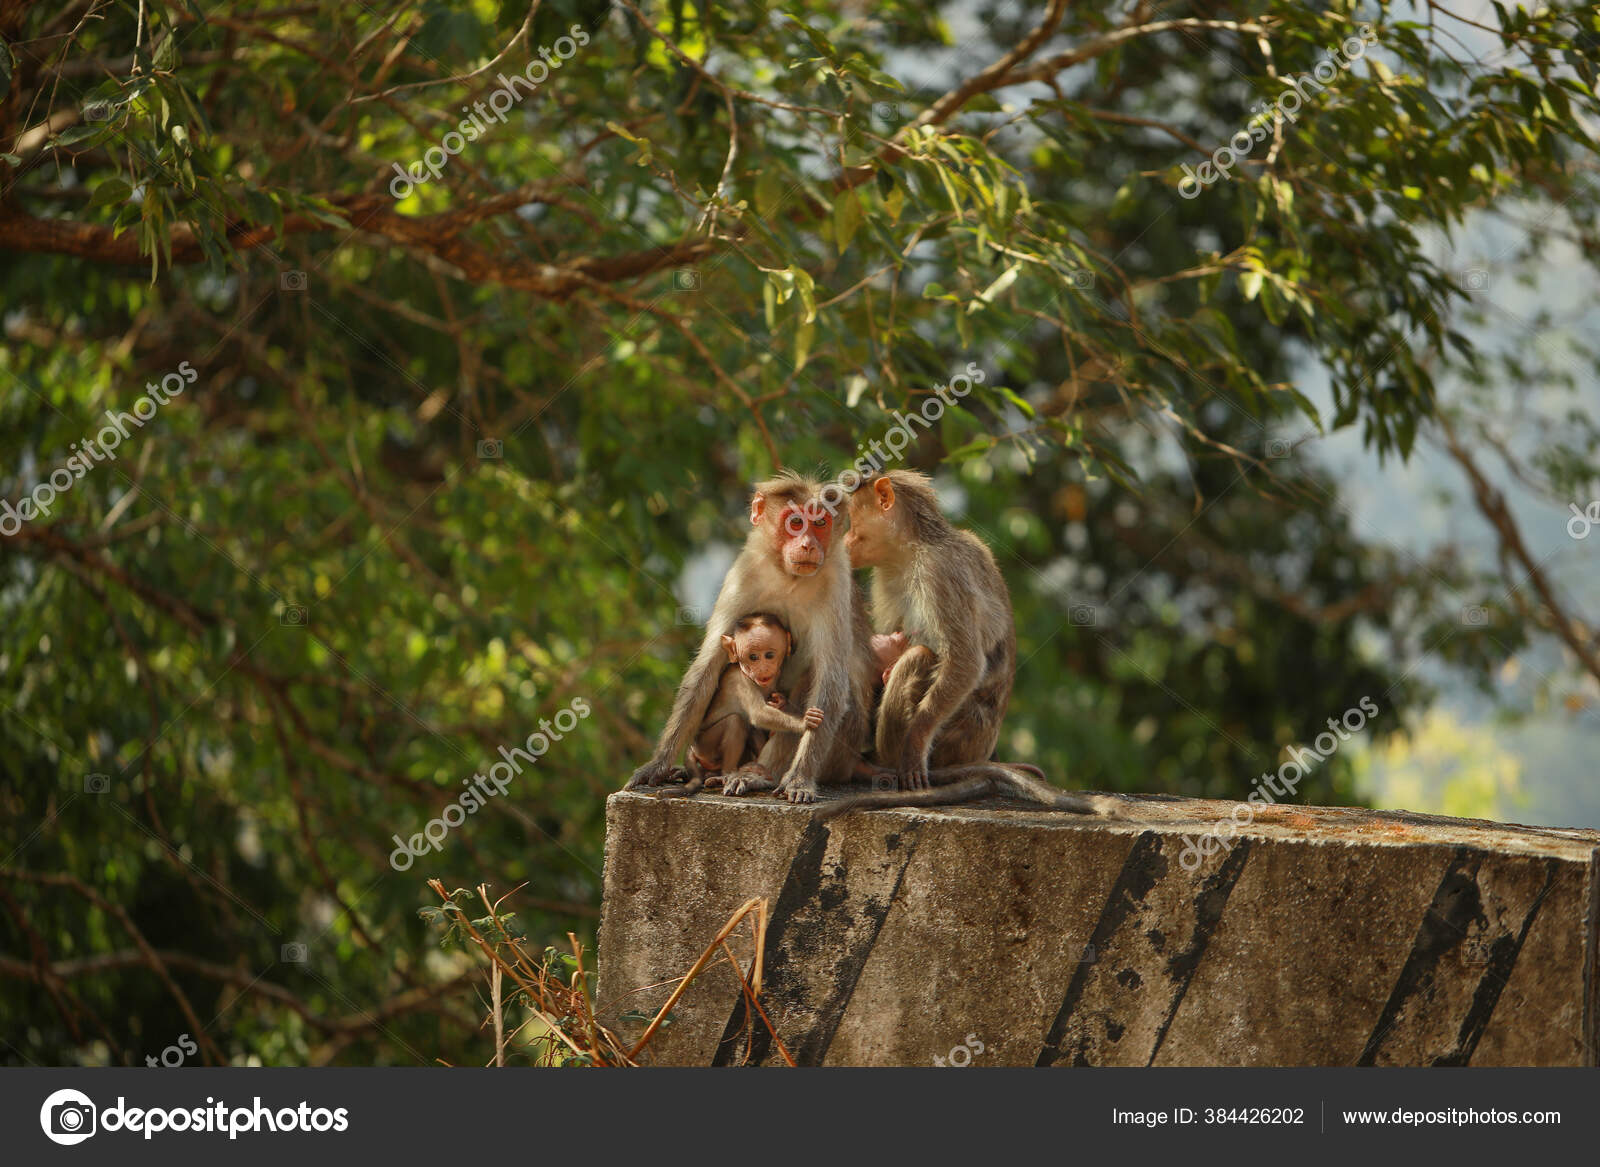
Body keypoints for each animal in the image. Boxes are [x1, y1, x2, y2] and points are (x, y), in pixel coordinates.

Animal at [658, 613, 825, 800]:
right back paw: (725, 775)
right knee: (736, 722)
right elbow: (759, 714)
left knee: (751, 729)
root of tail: (691, 749)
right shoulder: (740, 680)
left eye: (769, 655)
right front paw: (804, 721)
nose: (762, 668)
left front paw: (781, 702)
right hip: (705, 746)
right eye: (753, 657)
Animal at [823, 469, 1123, 820]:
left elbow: (965, 660)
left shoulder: (939, 572)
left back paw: (888, 759)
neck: (912, 550)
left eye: (852, 522)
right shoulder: (886, 579)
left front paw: (914, 745)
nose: (845, 542)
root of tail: (982, 750)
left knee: (918, 658)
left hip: (960, 735)